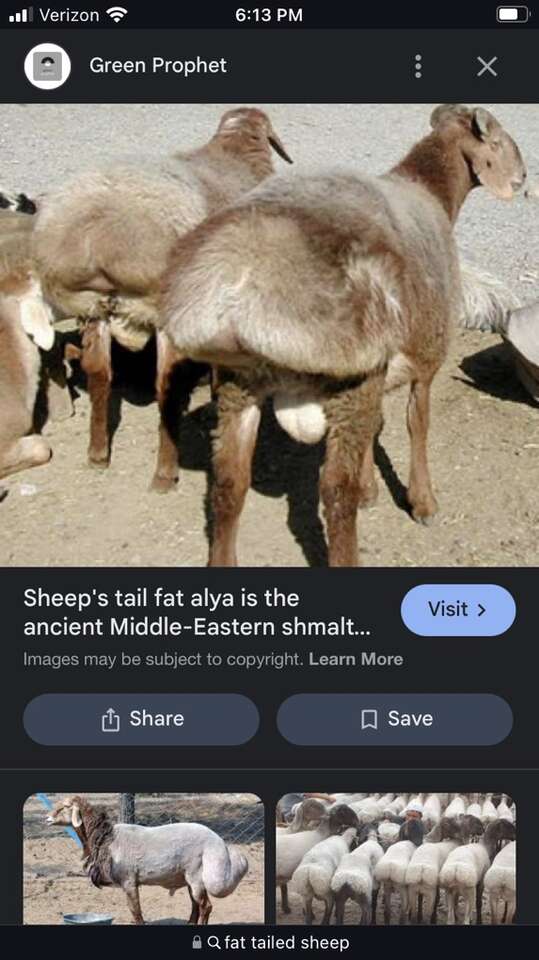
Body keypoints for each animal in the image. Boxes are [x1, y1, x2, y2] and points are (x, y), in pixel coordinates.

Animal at [34, 108, 292, 491]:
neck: (233, 152)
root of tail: (99, 238)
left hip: (93, 309)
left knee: (99, 373)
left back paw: (97, 454)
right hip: (164, 308)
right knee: (166, 386)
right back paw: (165, 473)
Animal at [47, 795, 248, 925]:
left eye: (64, 807)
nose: (47, 818)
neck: (107, 838)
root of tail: (218, 841)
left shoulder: (129, 881)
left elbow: (136, 912)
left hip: (196, 876)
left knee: (206, 906)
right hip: (191, 879)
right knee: (195, 906)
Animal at [161, 104, 525, 566]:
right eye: (499, 141)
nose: (524, 178)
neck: (431, 191)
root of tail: (237, 286)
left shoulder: (380, 373)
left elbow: (378, 425)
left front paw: (373, 487)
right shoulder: (424, 358)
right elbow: (417, 425)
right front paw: (422, 501)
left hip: (239, 384)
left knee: (228, 484)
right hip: (344, 376)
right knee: (334, 493)